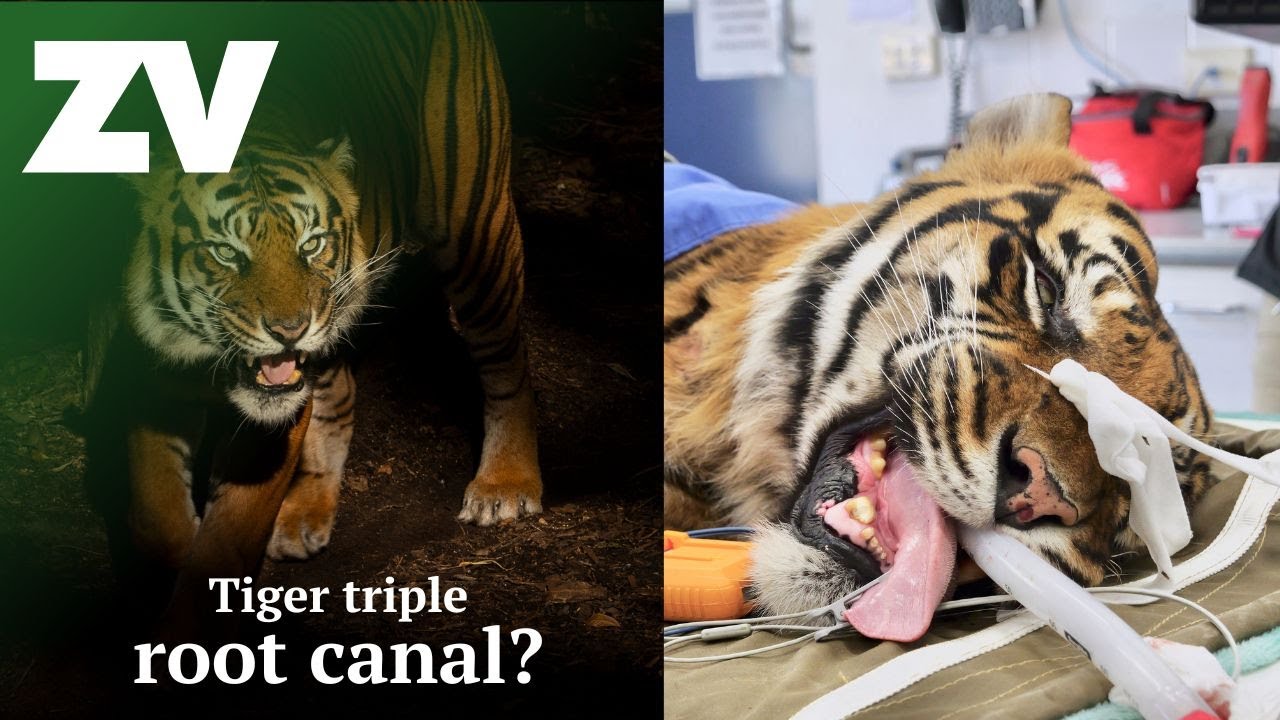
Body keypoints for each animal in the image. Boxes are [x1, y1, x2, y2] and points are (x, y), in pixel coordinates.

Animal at [81, 2, 540, 632]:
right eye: (226, 253)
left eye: (312, 244)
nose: (290, 329)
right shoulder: (154, 377)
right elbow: (156, 518)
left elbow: (225, 538)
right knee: (339, 387)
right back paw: (305, 513)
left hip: (475, 226)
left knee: (503, 361)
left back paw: (505, 485)